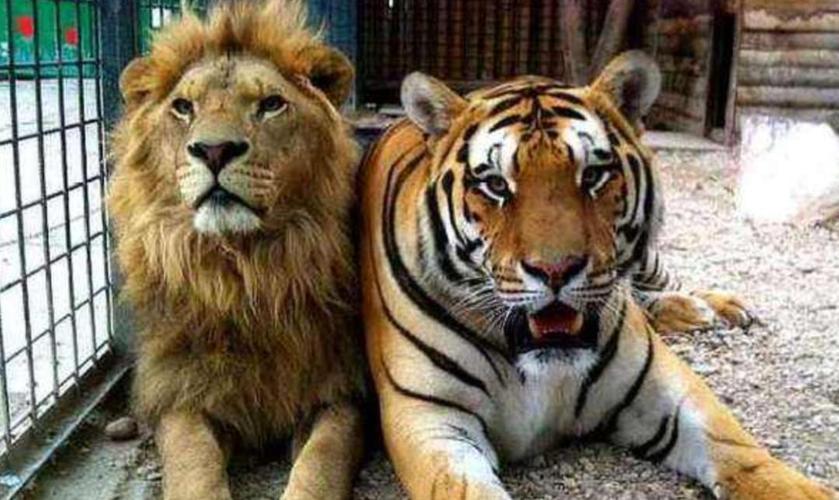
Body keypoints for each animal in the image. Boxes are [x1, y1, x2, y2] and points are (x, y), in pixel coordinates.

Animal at [359, 51, 836, 499]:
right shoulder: (430, 421)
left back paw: (715, 307)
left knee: (660, 286)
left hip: (647, 260)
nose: (556, 270)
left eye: (593, 175)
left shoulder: (660, 385)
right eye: (495, 185)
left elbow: (736, 449)